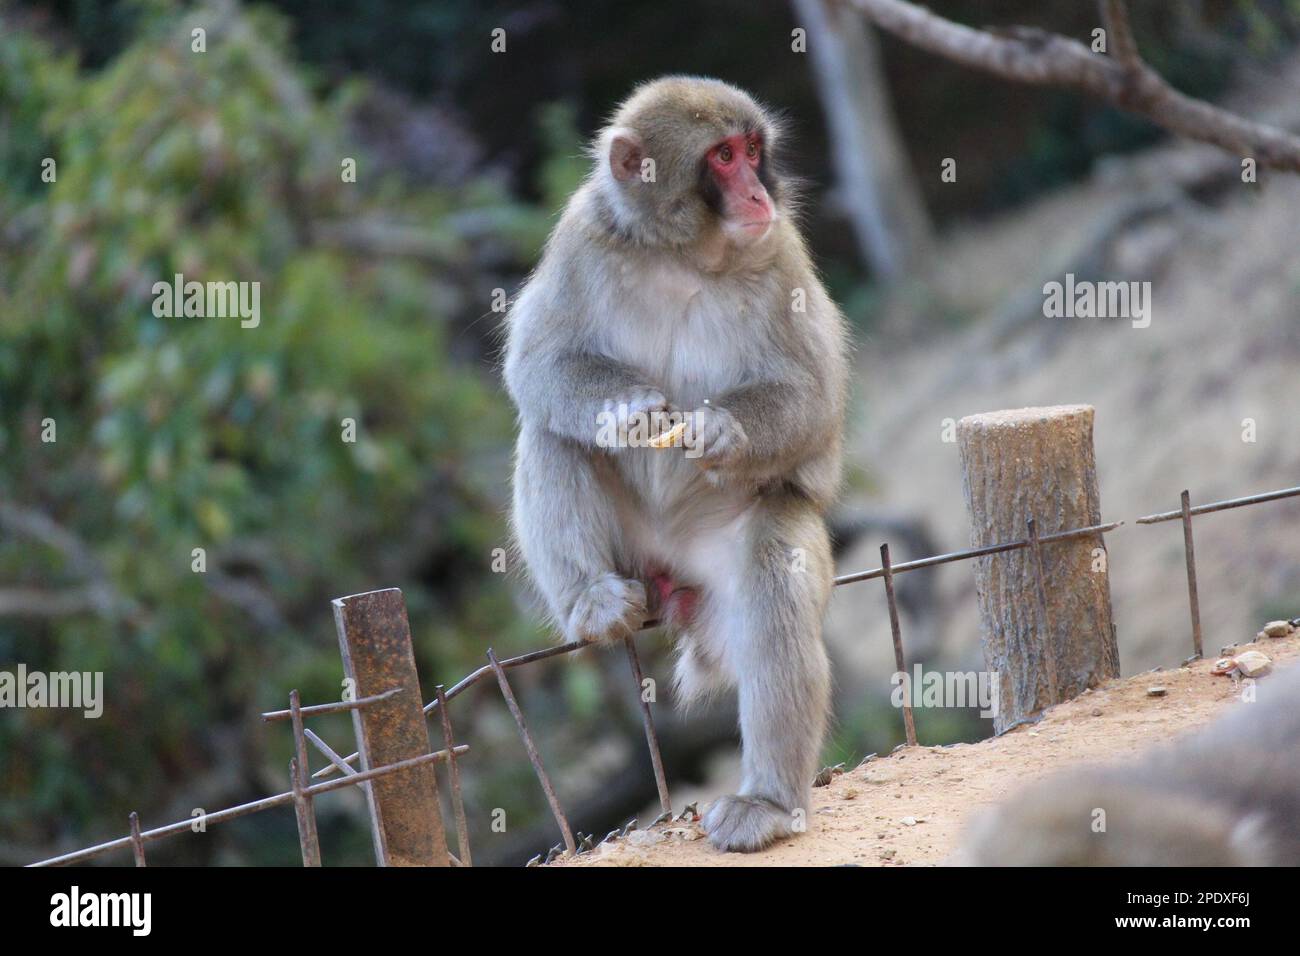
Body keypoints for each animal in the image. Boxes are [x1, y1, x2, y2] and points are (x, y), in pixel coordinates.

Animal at [502, 76, 849, 852]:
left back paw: (767, 803)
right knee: (551, 433)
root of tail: (672, 578)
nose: (757, 191)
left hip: (733, 559)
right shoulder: (581, 236)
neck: (684, 255)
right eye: (721, 157)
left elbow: (814, 400)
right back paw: (591, 599)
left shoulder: (781, 249)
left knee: (775, 579)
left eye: (752, 150)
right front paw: (631, 411)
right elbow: (537, 365)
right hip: (630, 554)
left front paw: (722, 432)